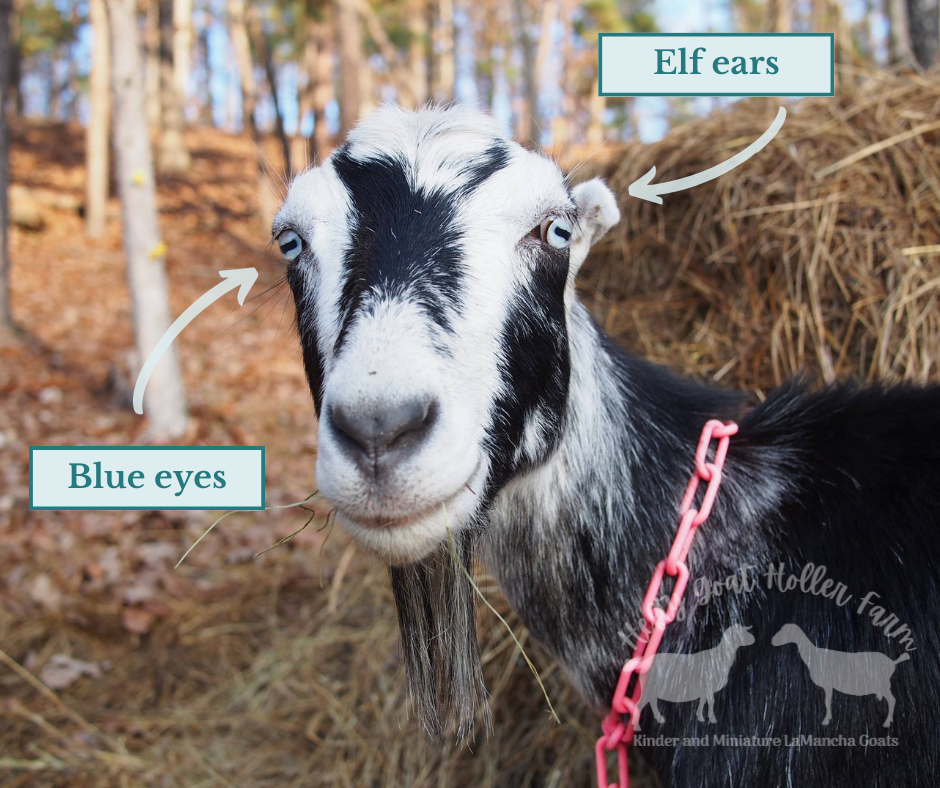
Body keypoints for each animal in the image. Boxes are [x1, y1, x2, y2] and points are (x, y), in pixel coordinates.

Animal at [772, 623, 910, 728]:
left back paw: (887, 722)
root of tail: (893, 662)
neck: (815, 655)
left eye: (785, 631)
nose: (772, 641)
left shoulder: (827, 685)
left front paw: (826, 720)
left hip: (884, 683)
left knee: (892, 700)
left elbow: (827, 702)